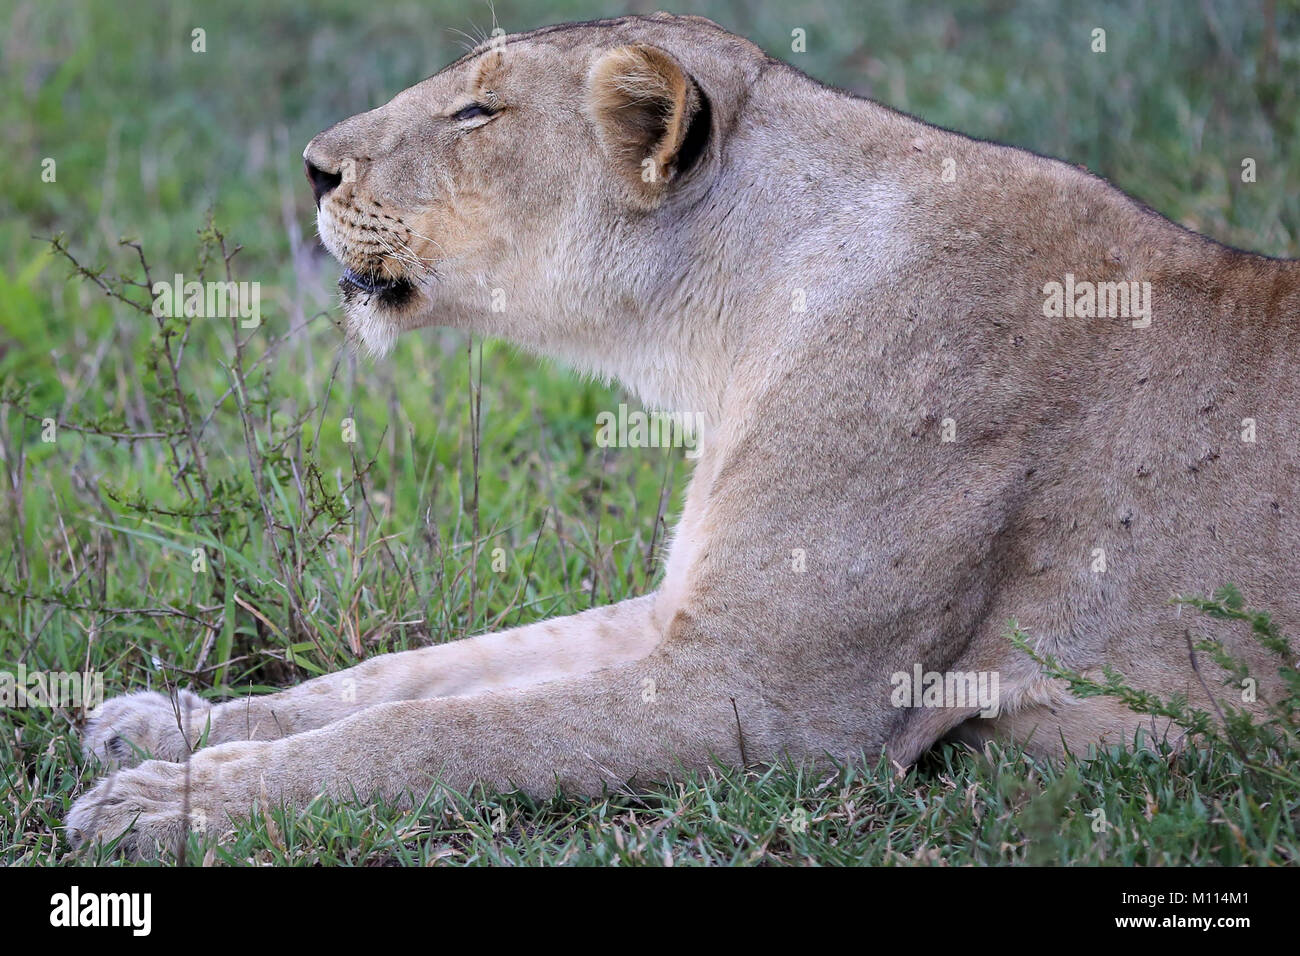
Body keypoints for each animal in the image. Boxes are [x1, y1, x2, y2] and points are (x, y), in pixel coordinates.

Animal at [68, 13, 1300, 857]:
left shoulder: (772, 702)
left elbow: (445, 733)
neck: (722, 337)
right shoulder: (682, 616)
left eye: (478, 113)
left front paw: (164, 805)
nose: (316, 165)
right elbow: (411, 675)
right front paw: (162, 722)